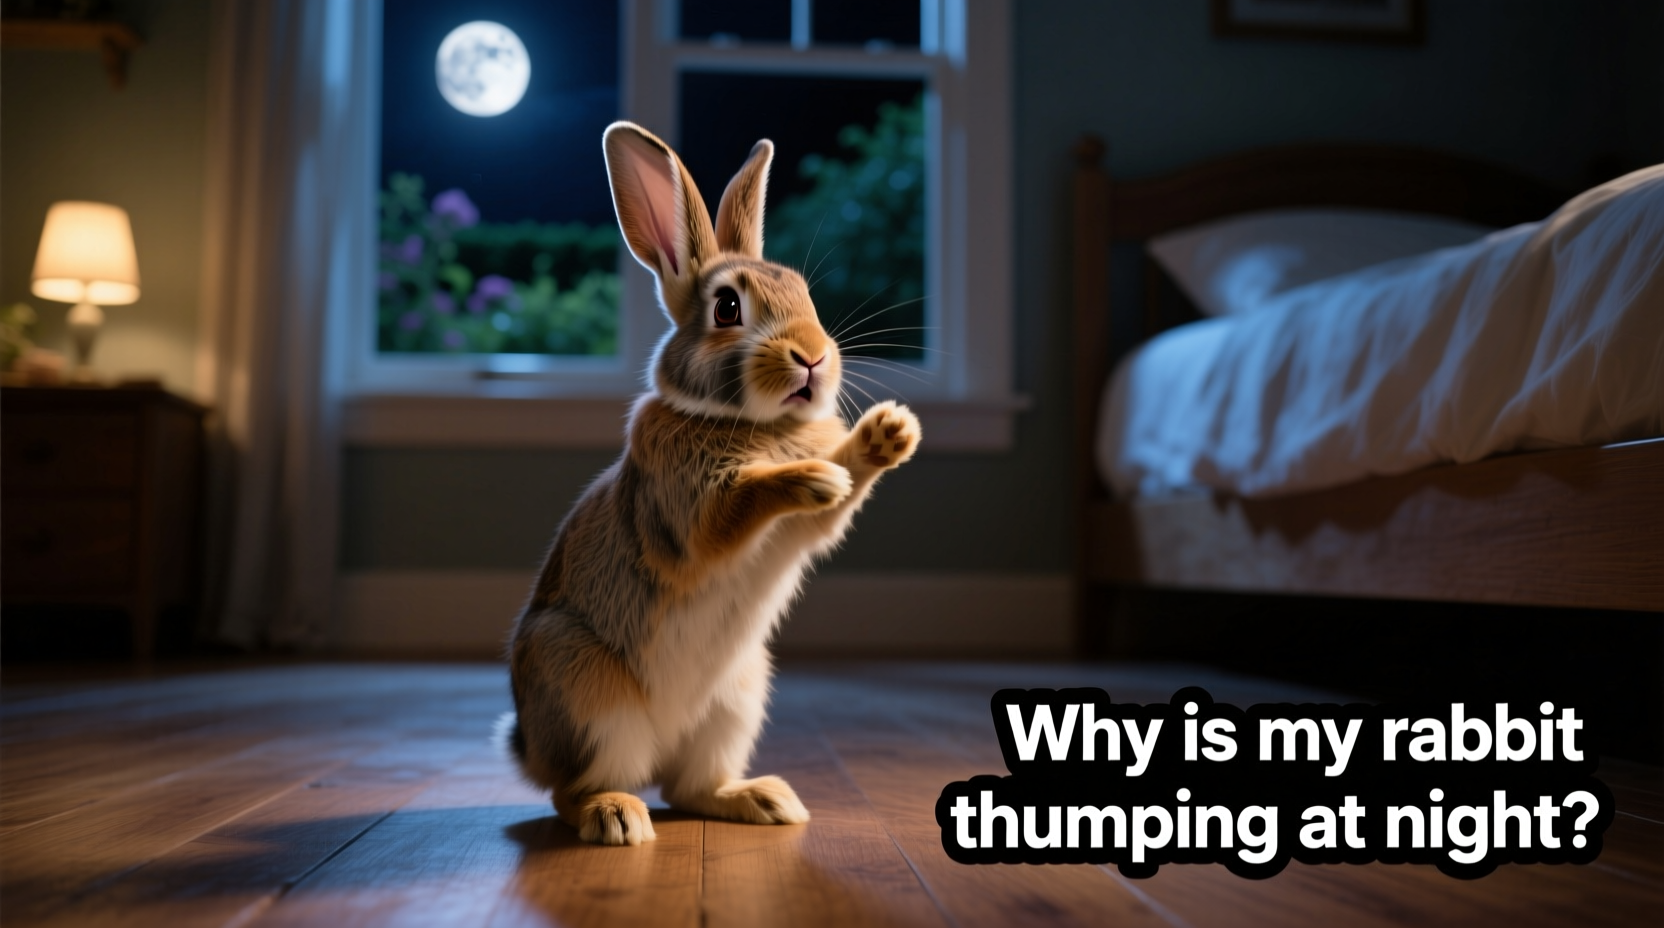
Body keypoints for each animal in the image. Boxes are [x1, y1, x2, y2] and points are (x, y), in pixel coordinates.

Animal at [496, 121, 921, 846]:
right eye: (727, 307)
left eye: (806, 295)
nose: (814, 356)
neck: (749, 425)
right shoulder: (688, 514)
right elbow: (736, 508)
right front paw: (810, 474)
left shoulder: (803, 533)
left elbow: (832, 507)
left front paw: (890, 434)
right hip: (586, 690)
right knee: (570, 792)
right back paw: (616, 817)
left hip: (736, 701)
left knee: (690, 788)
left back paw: (765, 800)